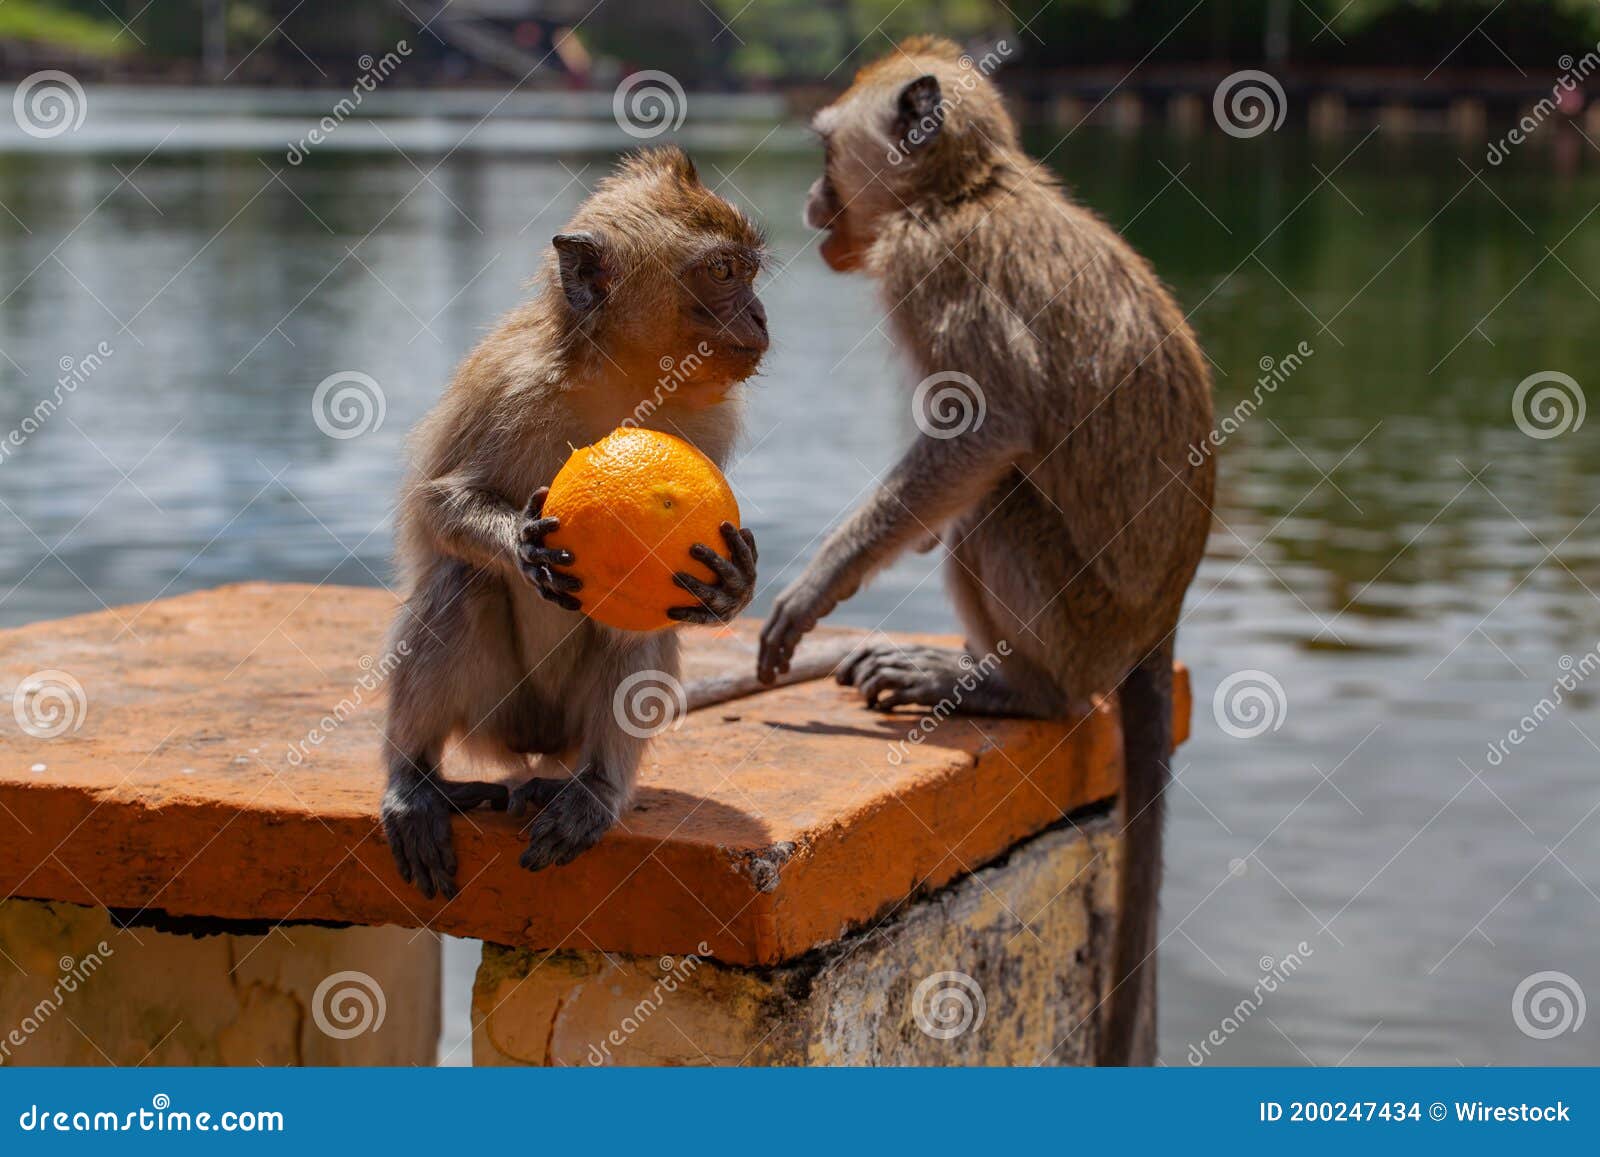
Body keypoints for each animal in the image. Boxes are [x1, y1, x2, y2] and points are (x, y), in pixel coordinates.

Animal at [382, 147, 820, 902]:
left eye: (748, 273)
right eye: (723, 272)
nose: (760, 314)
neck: (622, 374)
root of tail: (536, 742)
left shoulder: (709, 422)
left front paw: (733, 586)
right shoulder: (513, 387)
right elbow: (440, 504)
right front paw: (520, 546)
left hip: (568, 723)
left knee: (634, 621)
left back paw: (594, 789)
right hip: (496, 713)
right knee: (461, 581)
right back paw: (415, 780)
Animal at [756, 38, 1215, 1066]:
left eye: (826, 152)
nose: (810, 200)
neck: (965, 190)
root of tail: (1160, 621)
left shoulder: (935, 270)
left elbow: (986, 433)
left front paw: (817, 586)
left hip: (1084, 624)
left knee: (999, 506)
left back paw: (1020, 689)